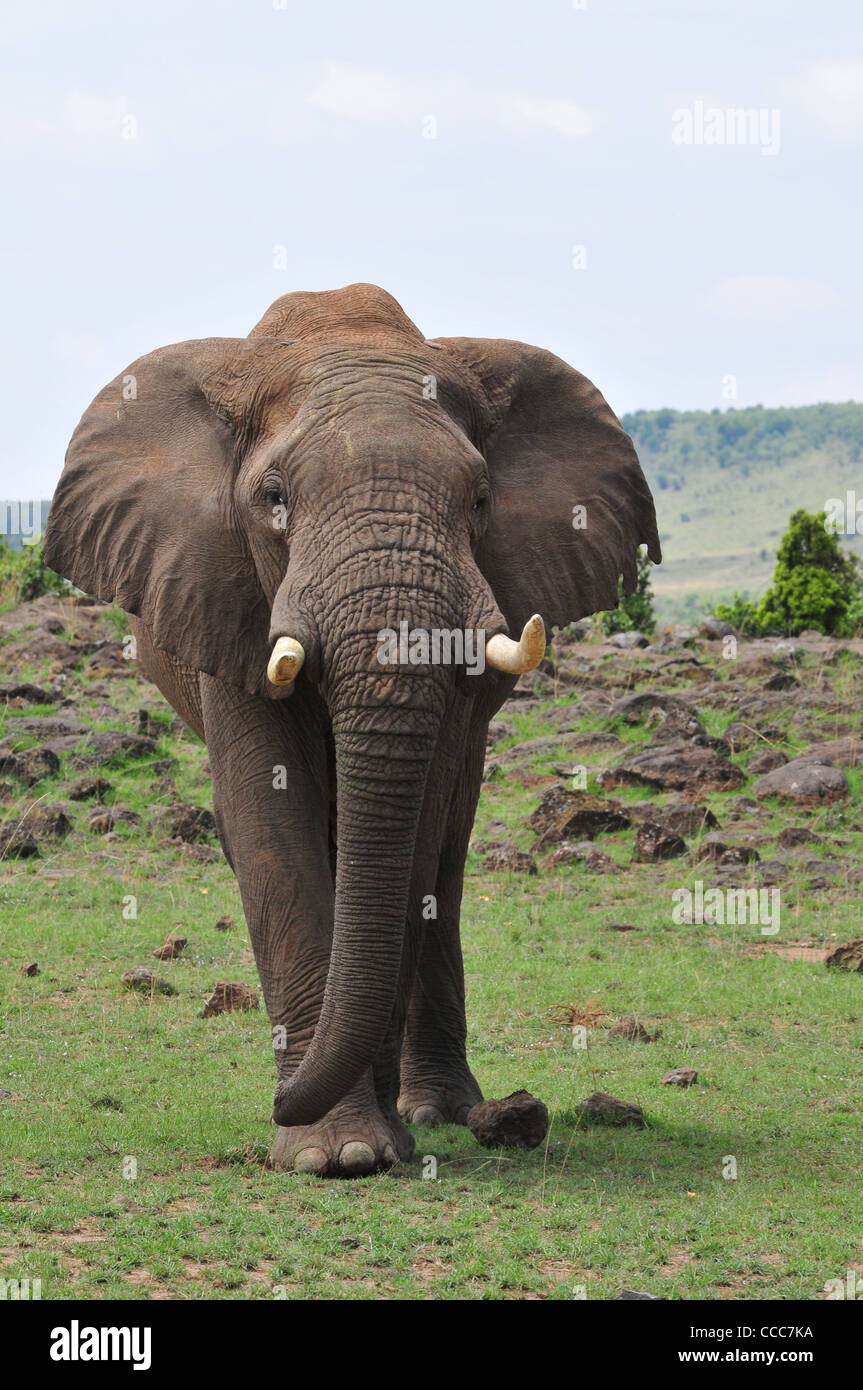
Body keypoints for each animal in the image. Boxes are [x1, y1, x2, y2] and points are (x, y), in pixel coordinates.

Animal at [44, 283, 660, 1177]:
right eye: (274, 499)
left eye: (480, 500)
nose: (276, 1098)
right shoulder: (222, 592)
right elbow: (269, 819)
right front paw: (335, 1155)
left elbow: (417, 831)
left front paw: (376, 1140)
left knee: (445, 853)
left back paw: (441, 1109)